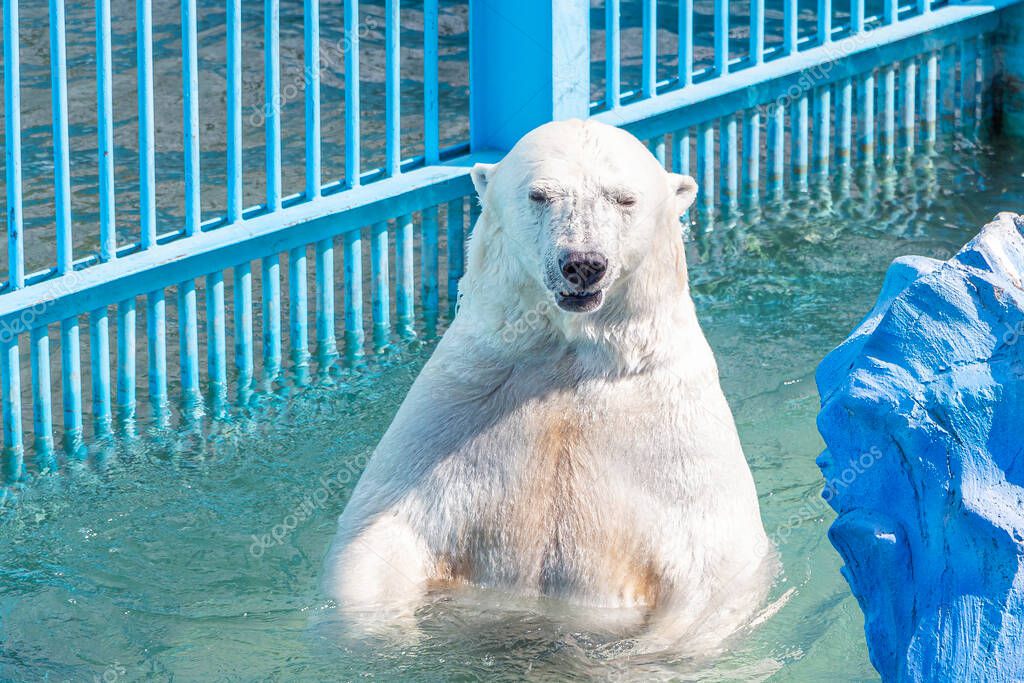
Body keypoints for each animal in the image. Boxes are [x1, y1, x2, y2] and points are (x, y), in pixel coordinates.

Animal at [322, 119, 774, 652]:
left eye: (625, 198)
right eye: (539, 194)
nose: (583, 263)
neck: (567, 359)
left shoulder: (676, 449)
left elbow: (715, 572)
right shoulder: (456, 412)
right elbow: (381, 535)